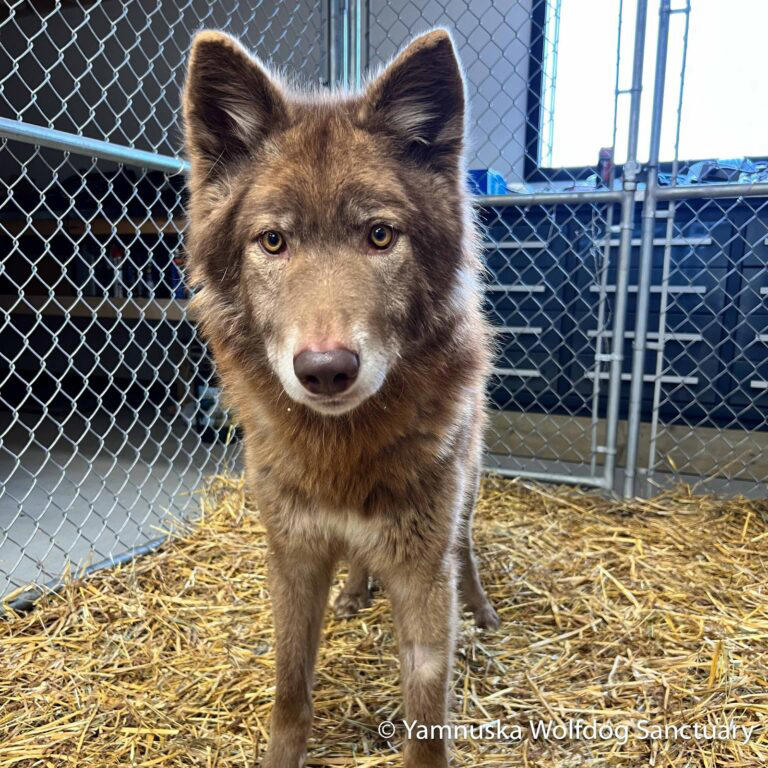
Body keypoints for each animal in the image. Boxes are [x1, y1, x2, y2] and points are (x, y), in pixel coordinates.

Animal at [183, 28, 498, 768]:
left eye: (379, 235)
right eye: (273, 241)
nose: (325, 370)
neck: (341, 453)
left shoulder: (421, 570)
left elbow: (426, 715)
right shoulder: (293, 558)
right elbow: (290, 692)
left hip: (466, 490)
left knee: (467, 550)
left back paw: (481, 610)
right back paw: (355, 592)